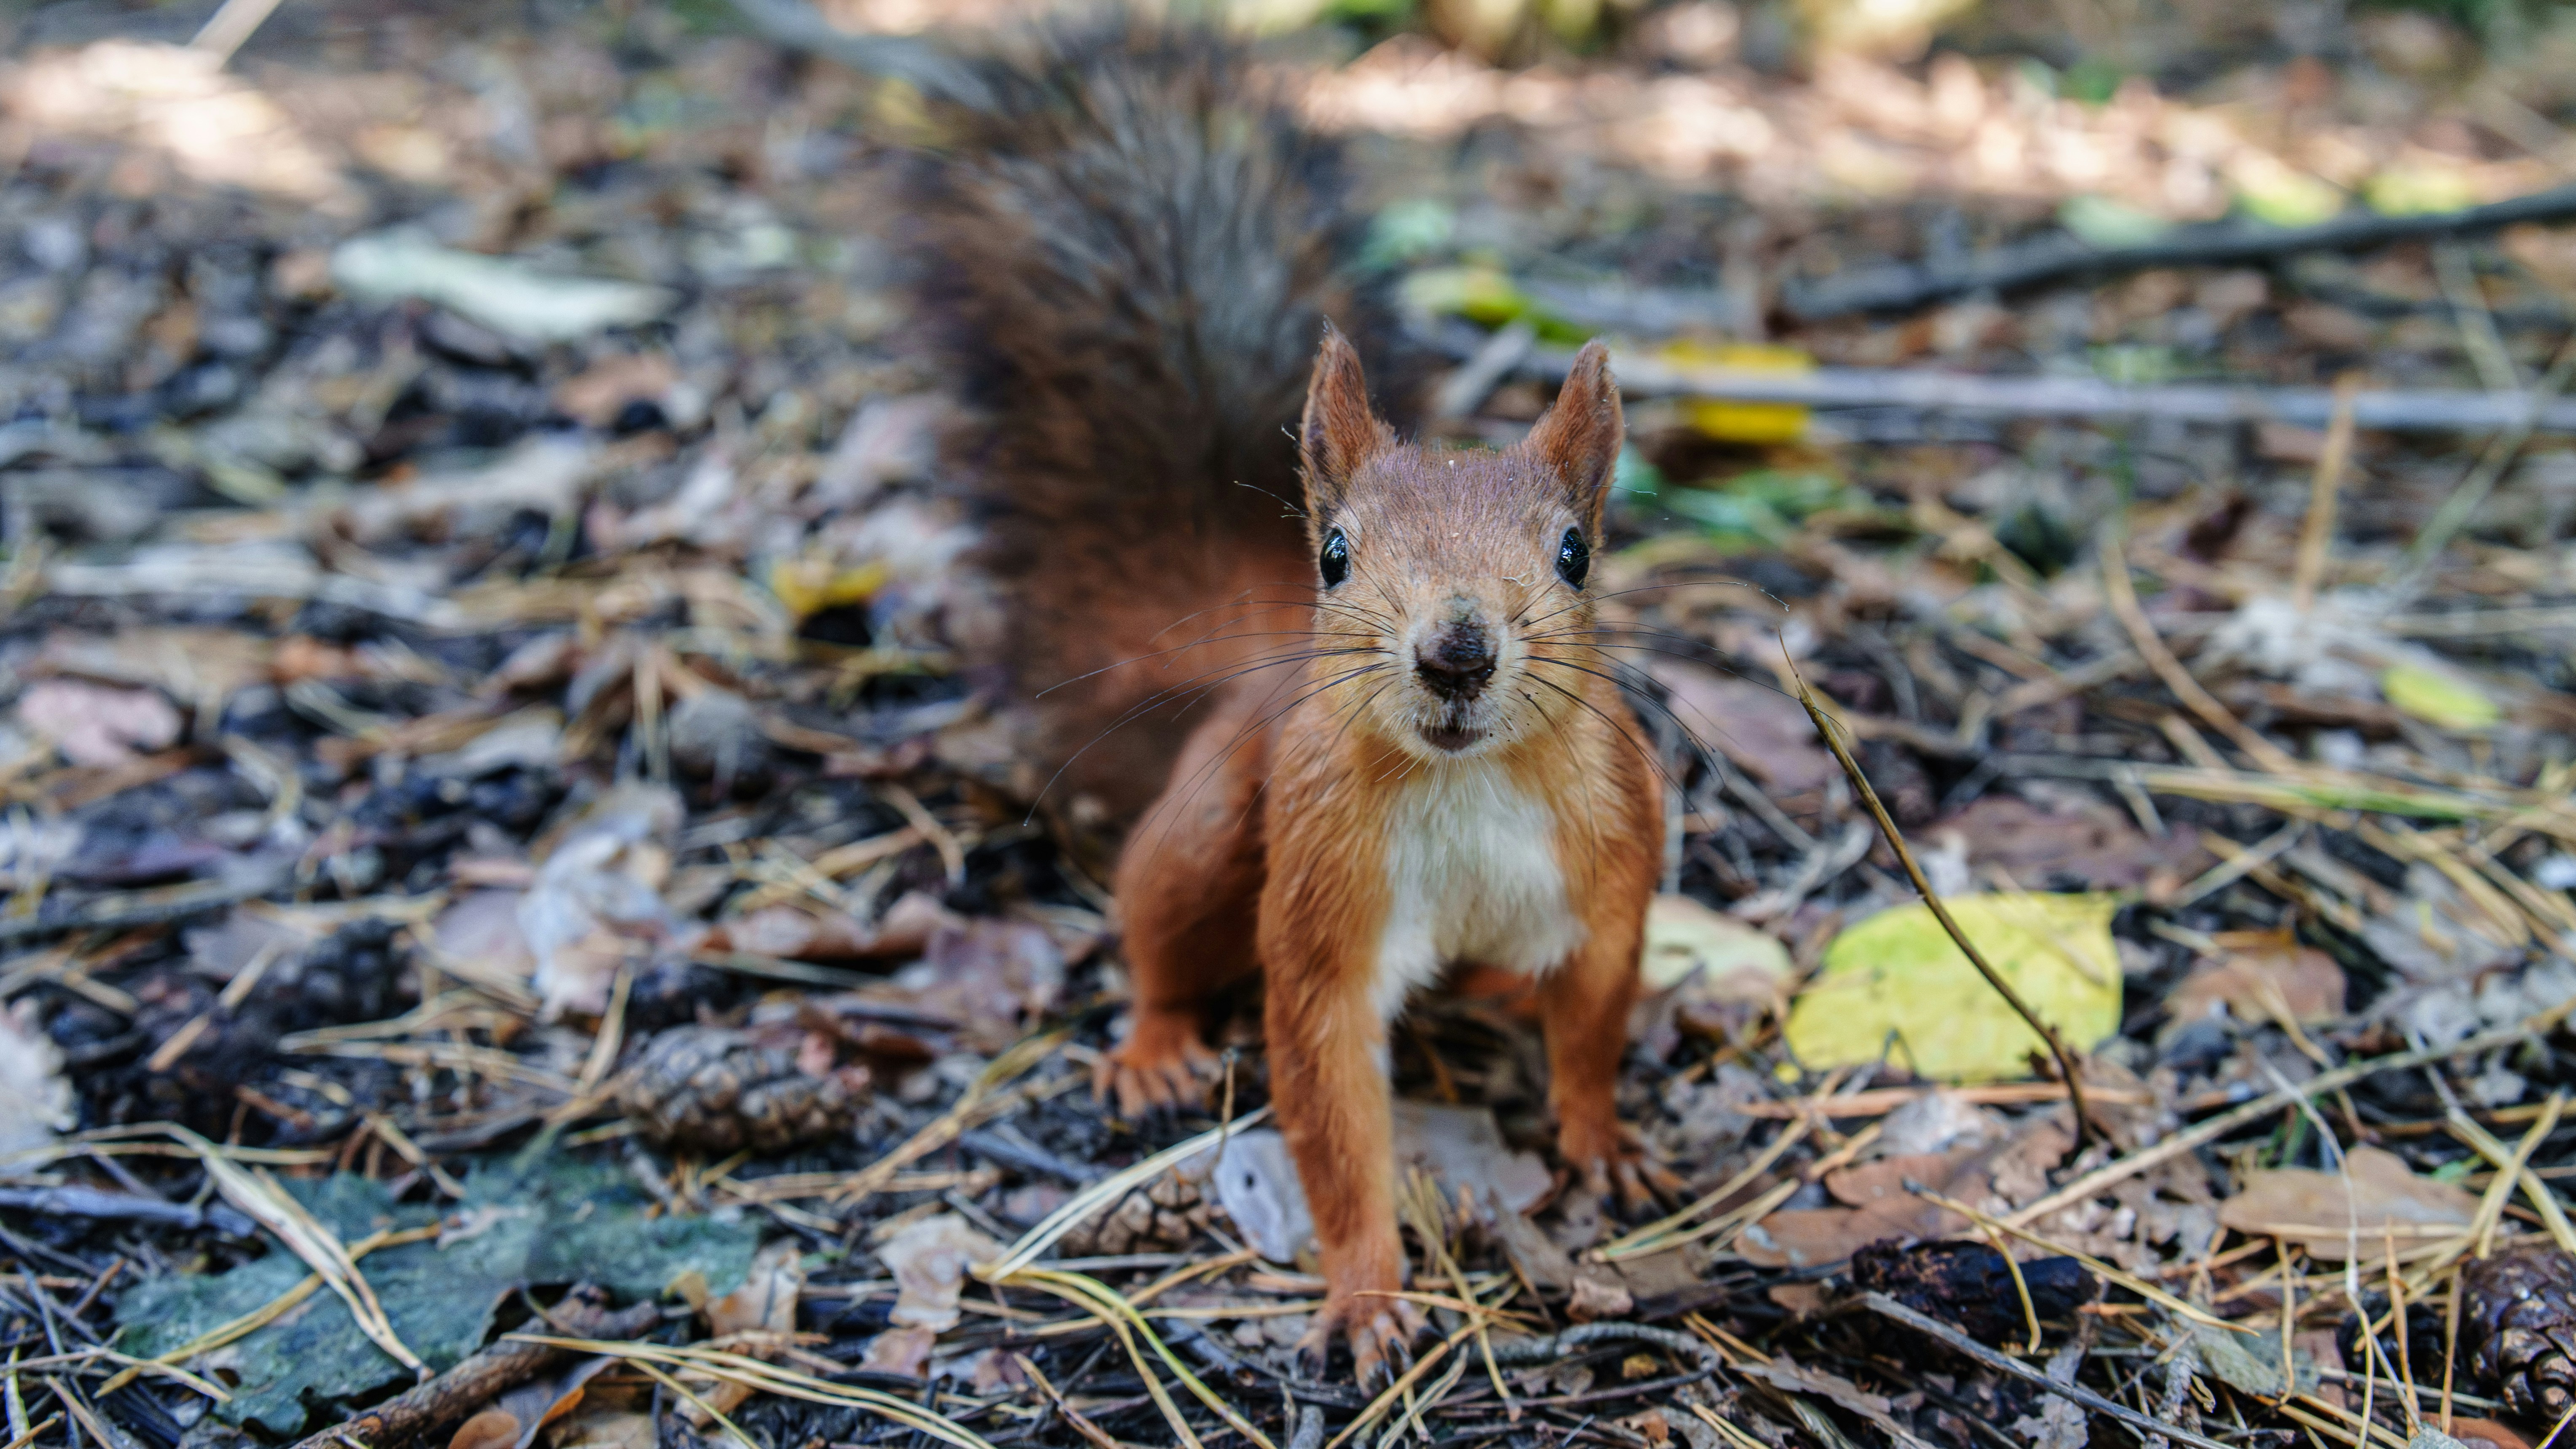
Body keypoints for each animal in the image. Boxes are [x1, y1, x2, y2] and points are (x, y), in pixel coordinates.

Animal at [886, 18, 1670, 1385]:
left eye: (1575, 552)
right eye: (1337, 554)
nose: (1454, 650)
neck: (1464, 782)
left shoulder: (1610, 868)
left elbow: (1591, 1025)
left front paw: (1599, 1137)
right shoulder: (1319, 900)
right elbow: (1329, 1105)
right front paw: (1365, 1293)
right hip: (1213, 825)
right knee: (1154, 920)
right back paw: (1153, 1045)